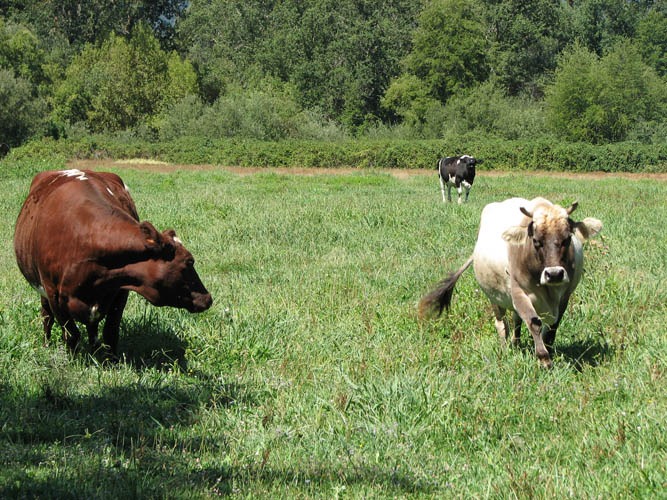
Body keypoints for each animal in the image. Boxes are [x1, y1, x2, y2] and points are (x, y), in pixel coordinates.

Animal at [14, 169, 213, 355]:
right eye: (189, 262)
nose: (208, 298)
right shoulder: (53, 293)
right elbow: (71, 335)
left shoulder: (120, 292)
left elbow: (110, 331)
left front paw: (111, 362)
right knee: (46, 316)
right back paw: (46, 344)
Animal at [419, 197, 602, 368]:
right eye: (536, 241)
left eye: (567, 238)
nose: (555, 274)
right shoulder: (519, 293)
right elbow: (534, 322)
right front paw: (543, 358)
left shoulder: (564, 297)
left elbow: (552, 327)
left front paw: (548, 351)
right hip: (494, 297)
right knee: (502, 324)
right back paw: (505, 348)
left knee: (516, 320)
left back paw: (516, 343)